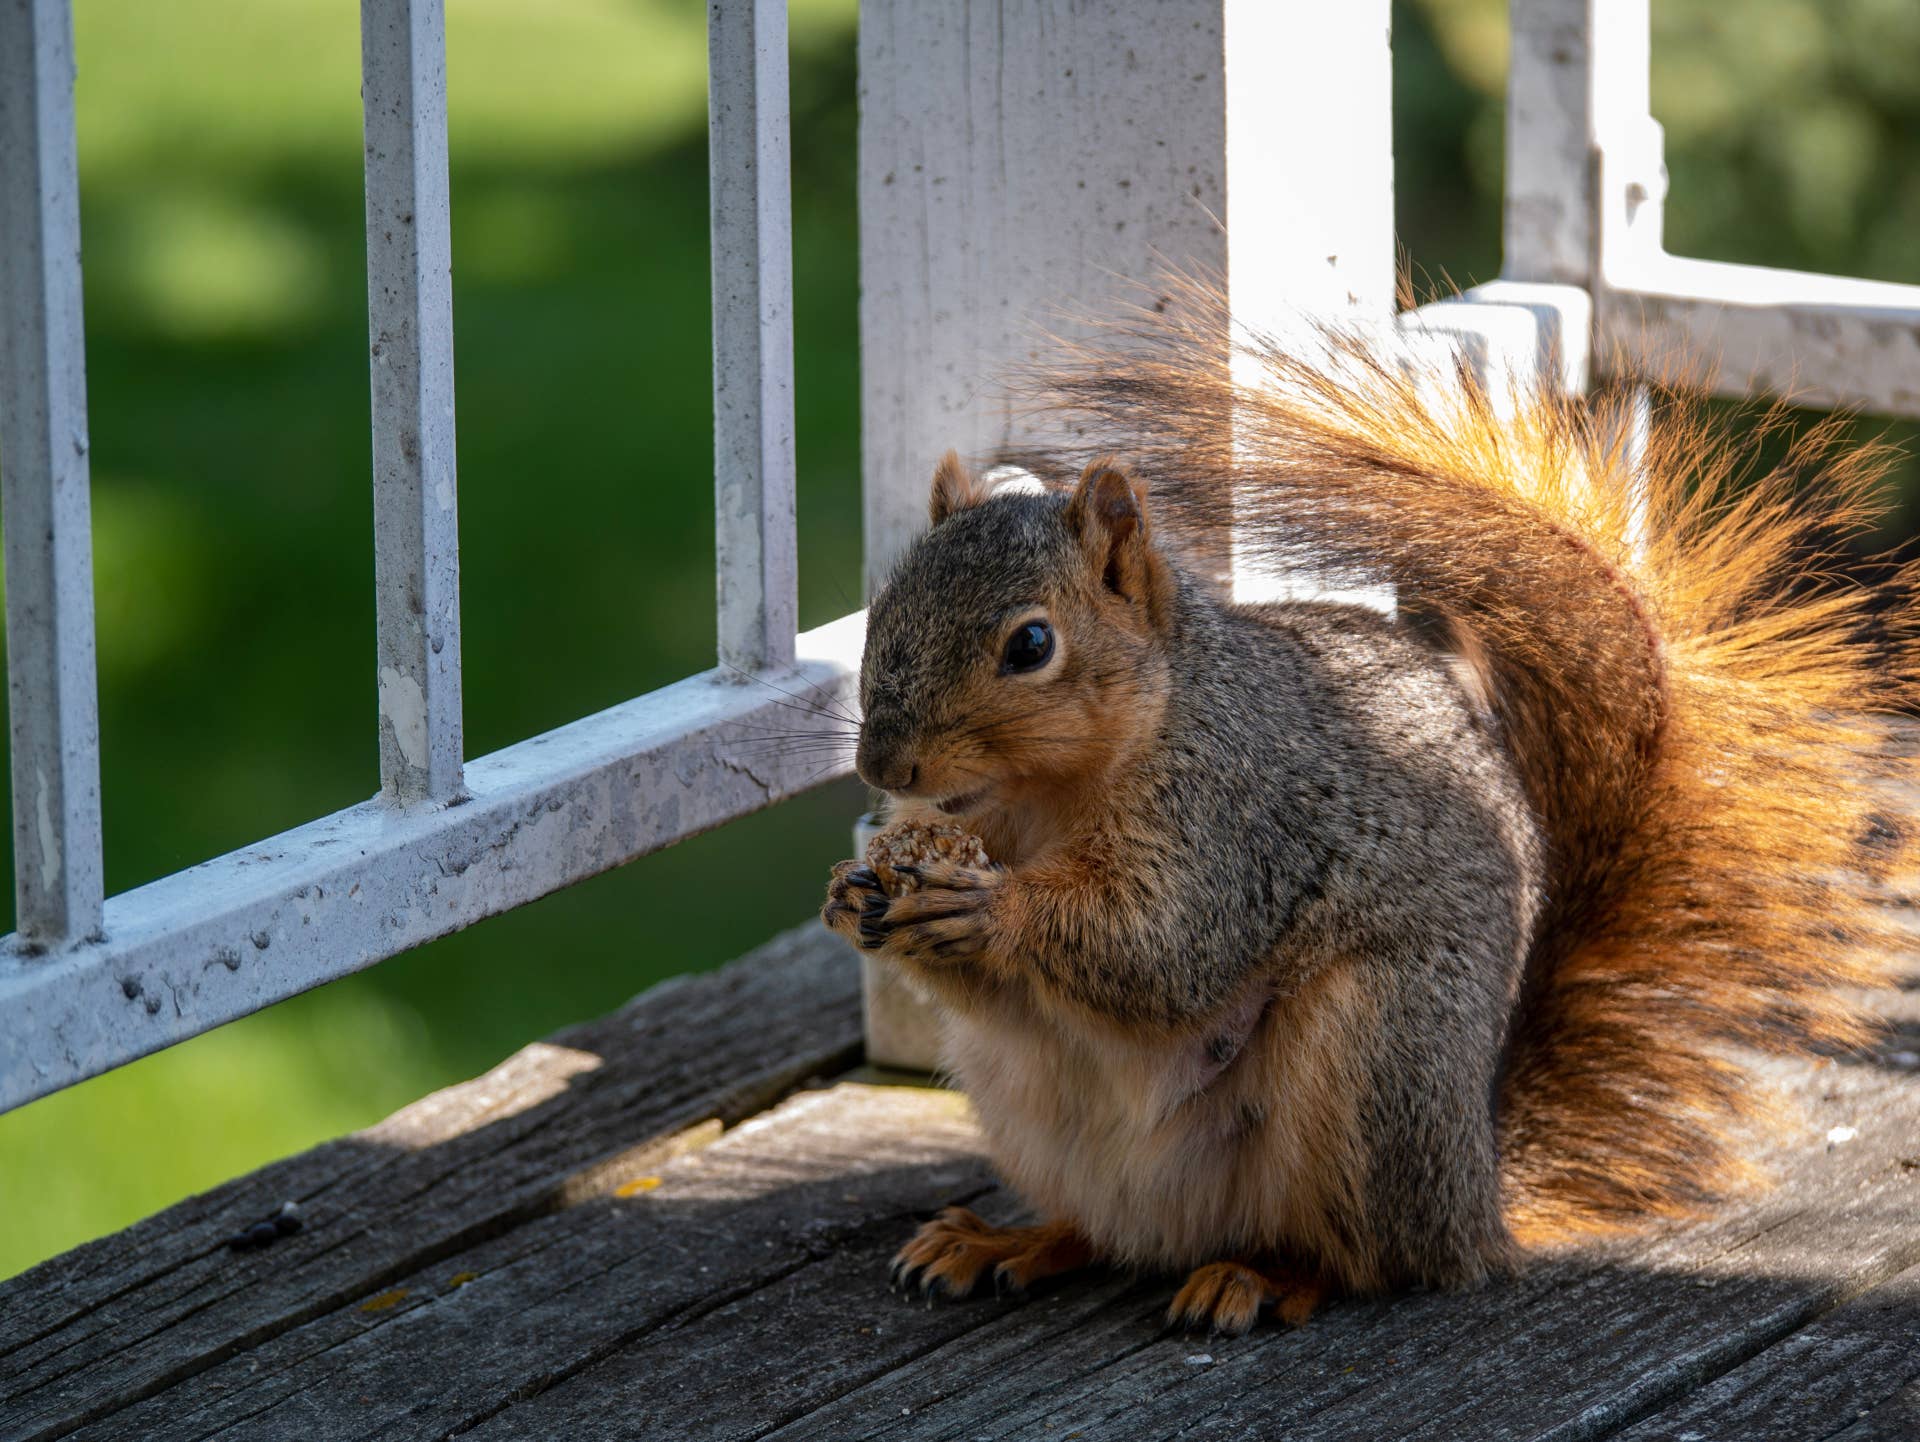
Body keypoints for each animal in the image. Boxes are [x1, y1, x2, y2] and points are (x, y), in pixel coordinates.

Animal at [820, 289, 1917, 1335]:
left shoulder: (1240, 815)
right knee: (1107, 1231)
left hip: (1374, 1061)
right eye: (884, 612)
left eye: (1031, 644)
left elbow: (1163, 949)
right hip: (1032, 1107)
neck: (1041, 802)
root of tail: (1479, 1193)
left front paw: (985, 906)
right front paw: (857, 892)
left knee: (1369, 1260)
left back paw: (1264, 1277)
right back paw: (1006, 1239)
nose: (882, 761)